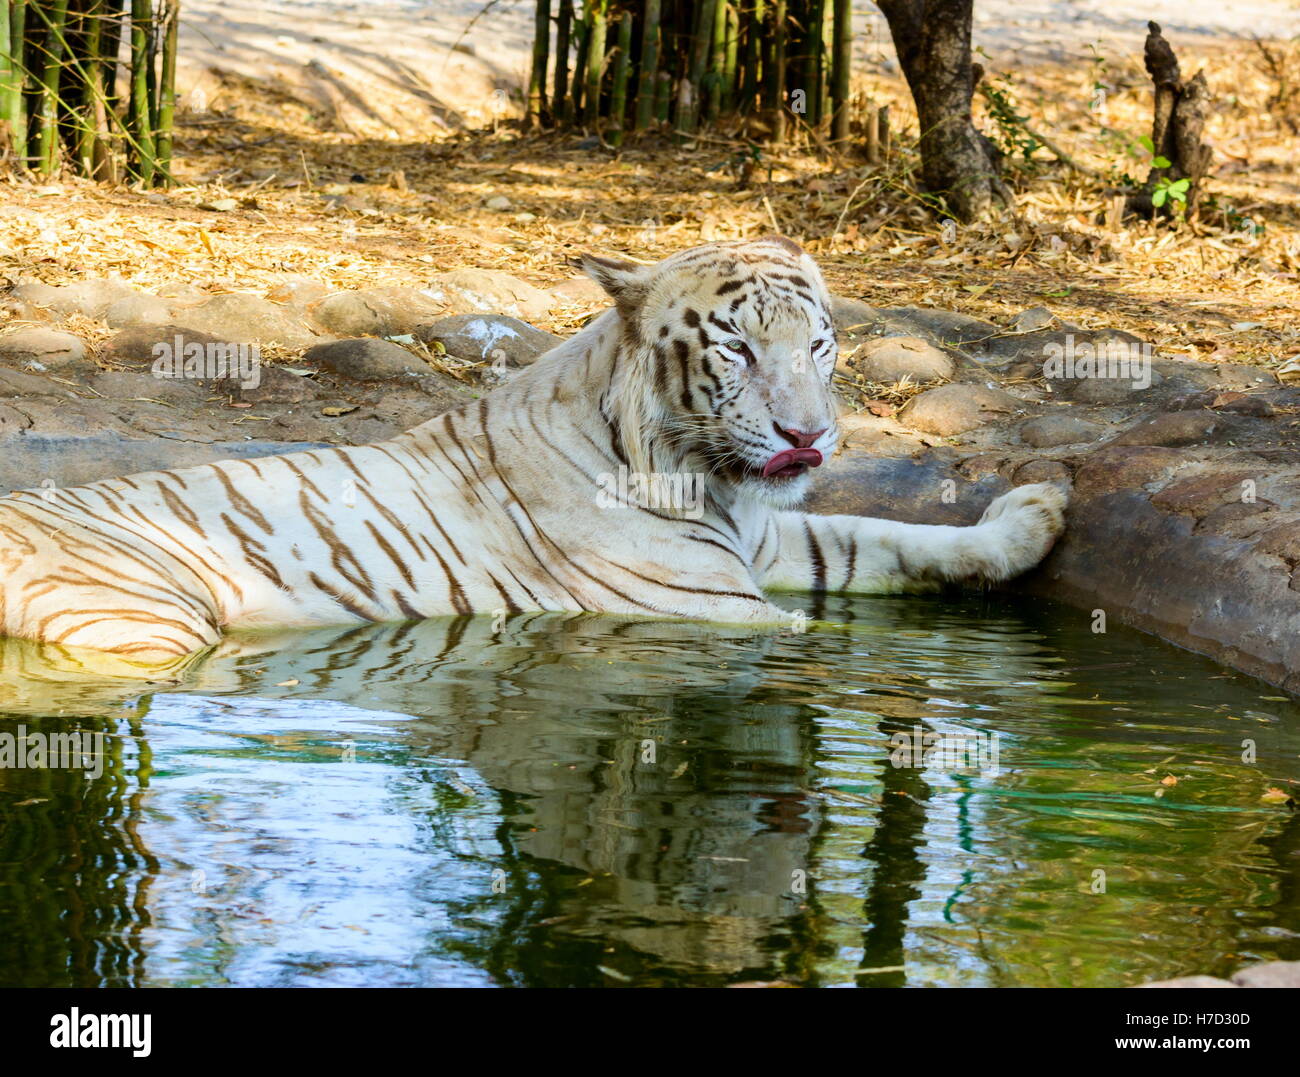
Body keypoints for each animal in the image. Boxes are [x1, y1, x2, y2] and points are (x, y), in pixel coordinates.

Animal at [0, 236, 1066, 666]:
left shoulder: (767, 545)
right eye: (736, 346)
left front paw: (1035, 512)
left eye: (818, 345)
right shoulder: (709, 600)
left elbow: (885, 539)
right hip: (142, 616)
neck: (708, 481)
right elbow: (821, 631)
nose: (808, 435)